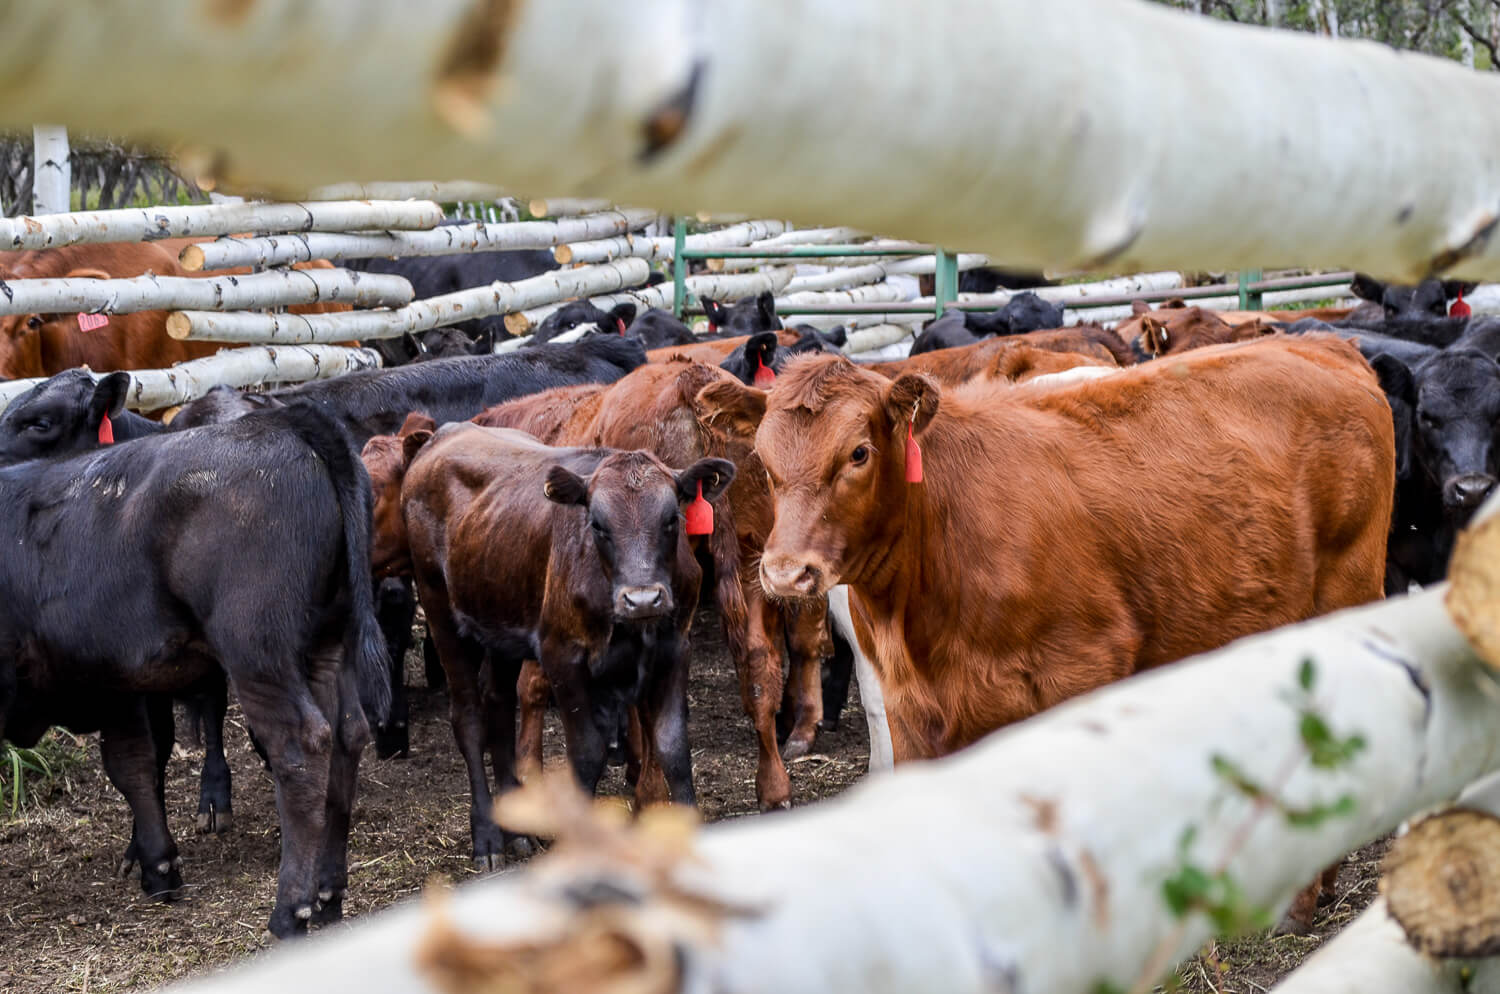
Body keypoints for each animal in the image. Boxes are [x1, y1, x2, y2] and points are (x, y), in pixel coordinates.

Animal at [0, 404, 389, 938]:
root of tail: (287, 421)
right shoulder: (115, 681)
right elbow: (133, 763)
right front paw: (159, 867)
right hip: (329, 644)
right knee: (347, 735)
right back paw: (328, 894)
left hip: (257, 651)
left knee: (302, 746)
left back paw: (290, 912)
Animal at [402, 423, 734, 866]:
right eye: (597, 524)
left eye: (671, 519)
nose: (643, 599)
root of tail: (447, 432)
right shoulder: (562, 655)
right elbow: (588, 753)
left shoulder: (675, 648)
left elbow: (673, 746)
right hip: (440, 612)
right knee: (469, 718)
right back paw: (487, 837)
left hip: (502, 630)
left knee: (498, 706)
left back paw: (516, 831)